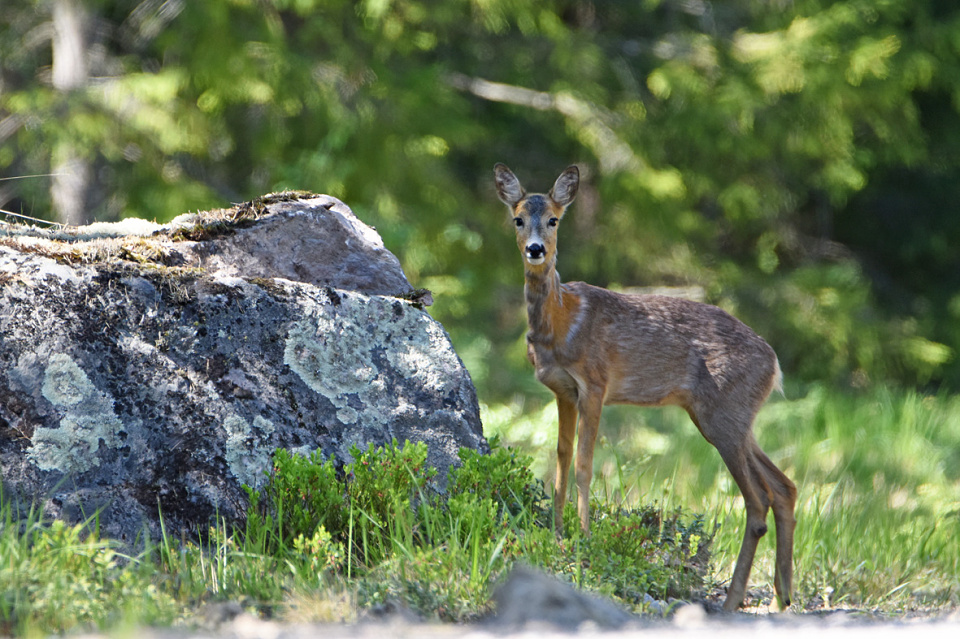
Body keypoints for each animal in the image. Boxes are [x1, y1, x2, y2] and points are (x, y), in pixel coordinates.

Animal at [493, 163, 797, 612]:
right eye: (517, 219)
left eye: (553, 220)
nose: (535, 250)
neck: (561, 323)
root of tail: (775, 364)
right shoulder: (562, 391)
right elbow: (561, 461)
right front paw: (558, 535)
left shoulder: (596, 384)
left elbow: (584, 465)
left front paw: (585, 541)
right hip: (728, 417)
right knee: (783, 487)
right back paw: (782, 595)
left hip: (724, 415)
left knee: (758, 500)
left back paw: (733, 601)